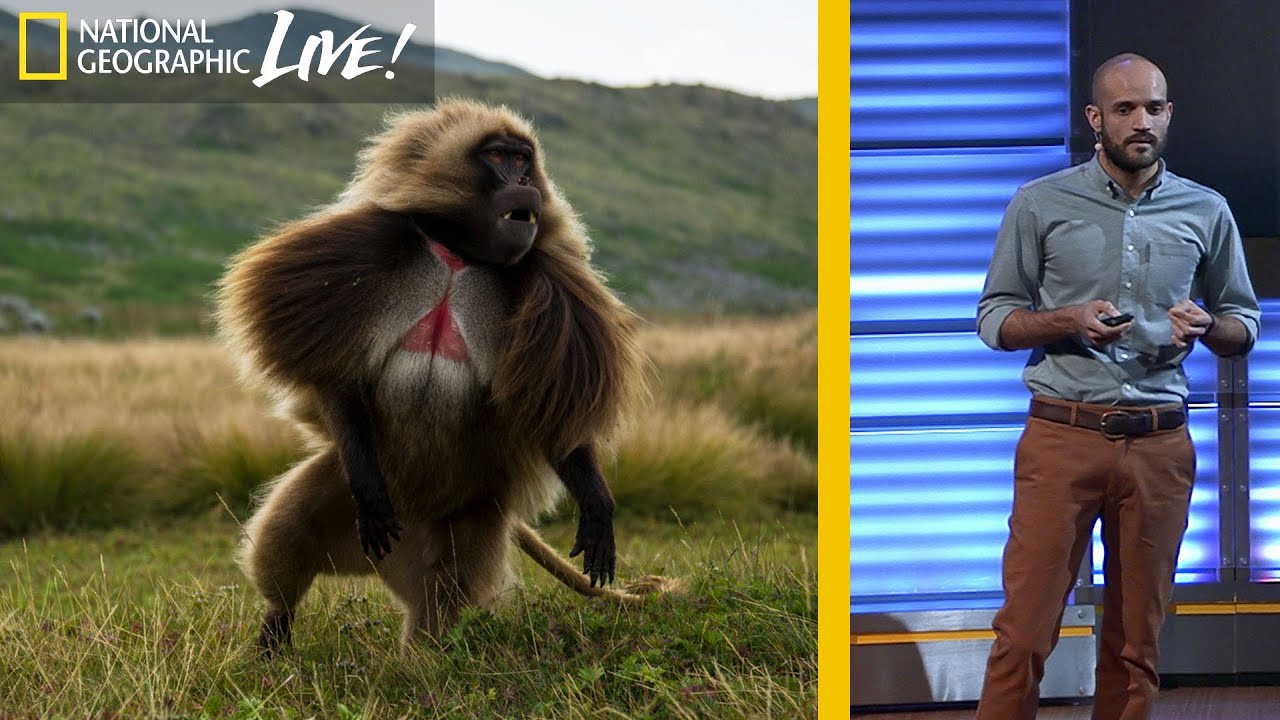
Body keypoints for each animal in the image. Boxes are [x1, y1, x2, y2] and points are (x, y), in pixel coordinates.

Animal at [216, 98, 679, 653]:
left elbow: (549, 421)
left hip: (470, 520)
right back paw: (274, 639)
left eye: (524, 160)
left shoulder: (552, 293)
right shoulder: (363, 254)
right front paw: (368, 489)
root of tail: (382, 564)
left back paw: (420, 661)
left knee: (440, 598)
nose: (524, 184)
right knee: (291, 532)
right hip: (339, 492)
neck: (461, 257)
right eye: (499, 156)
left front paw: (596, 507)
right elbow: (339, 381)